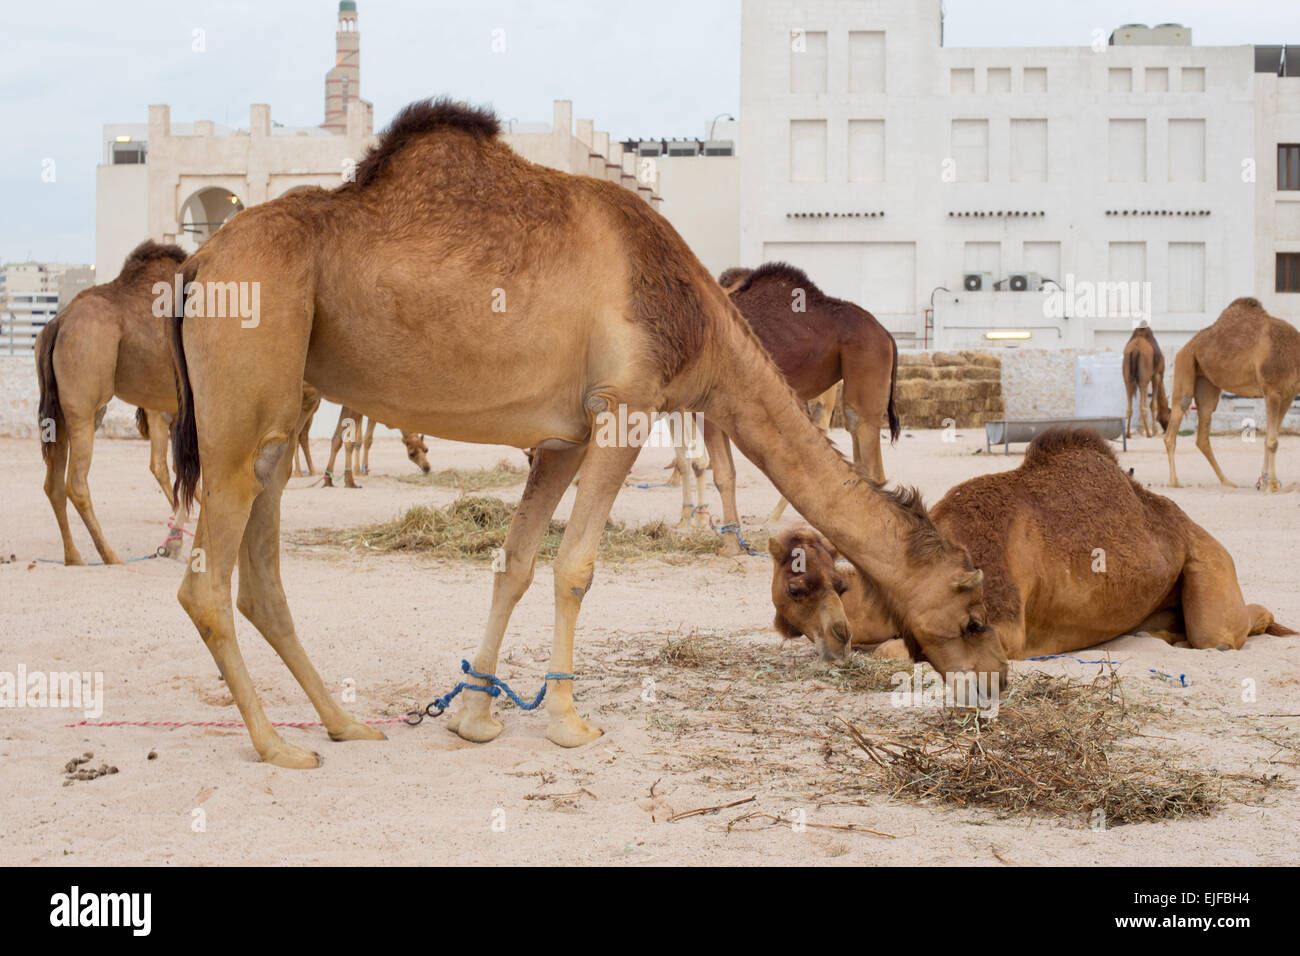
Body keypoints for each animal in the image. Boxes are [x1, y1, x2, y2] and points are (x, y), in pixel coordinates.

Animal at [35, 241, 191, 565]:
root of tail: (57, 322)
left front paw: (174, 545)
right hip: (85, 400)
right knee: (76, 483)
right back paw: (110, 557)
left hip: (61, 412)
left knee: (53, 484)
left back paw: (74, 557)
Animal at [770, 428, 1292, 670]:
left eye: (797, 588)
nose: (833, 638)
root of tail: (1182, 522)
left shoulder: (999, 623)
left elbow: (891, 652)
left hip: (1206, 558)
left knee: (1220, 632)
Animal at [1165, 297, 1300, 492]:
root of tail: (1187, 346)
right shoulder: (1272, 391)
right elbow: (1272, 441)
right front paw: (1273, 485)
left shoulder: (1288, 395)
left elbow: (1269, 437)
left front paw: (1264, 481)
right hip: (1185, 364)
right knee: (1175, 422)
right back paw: (1174, 481)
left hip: (1207, 383)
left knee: (1203, 434)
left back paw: (1227, 481)